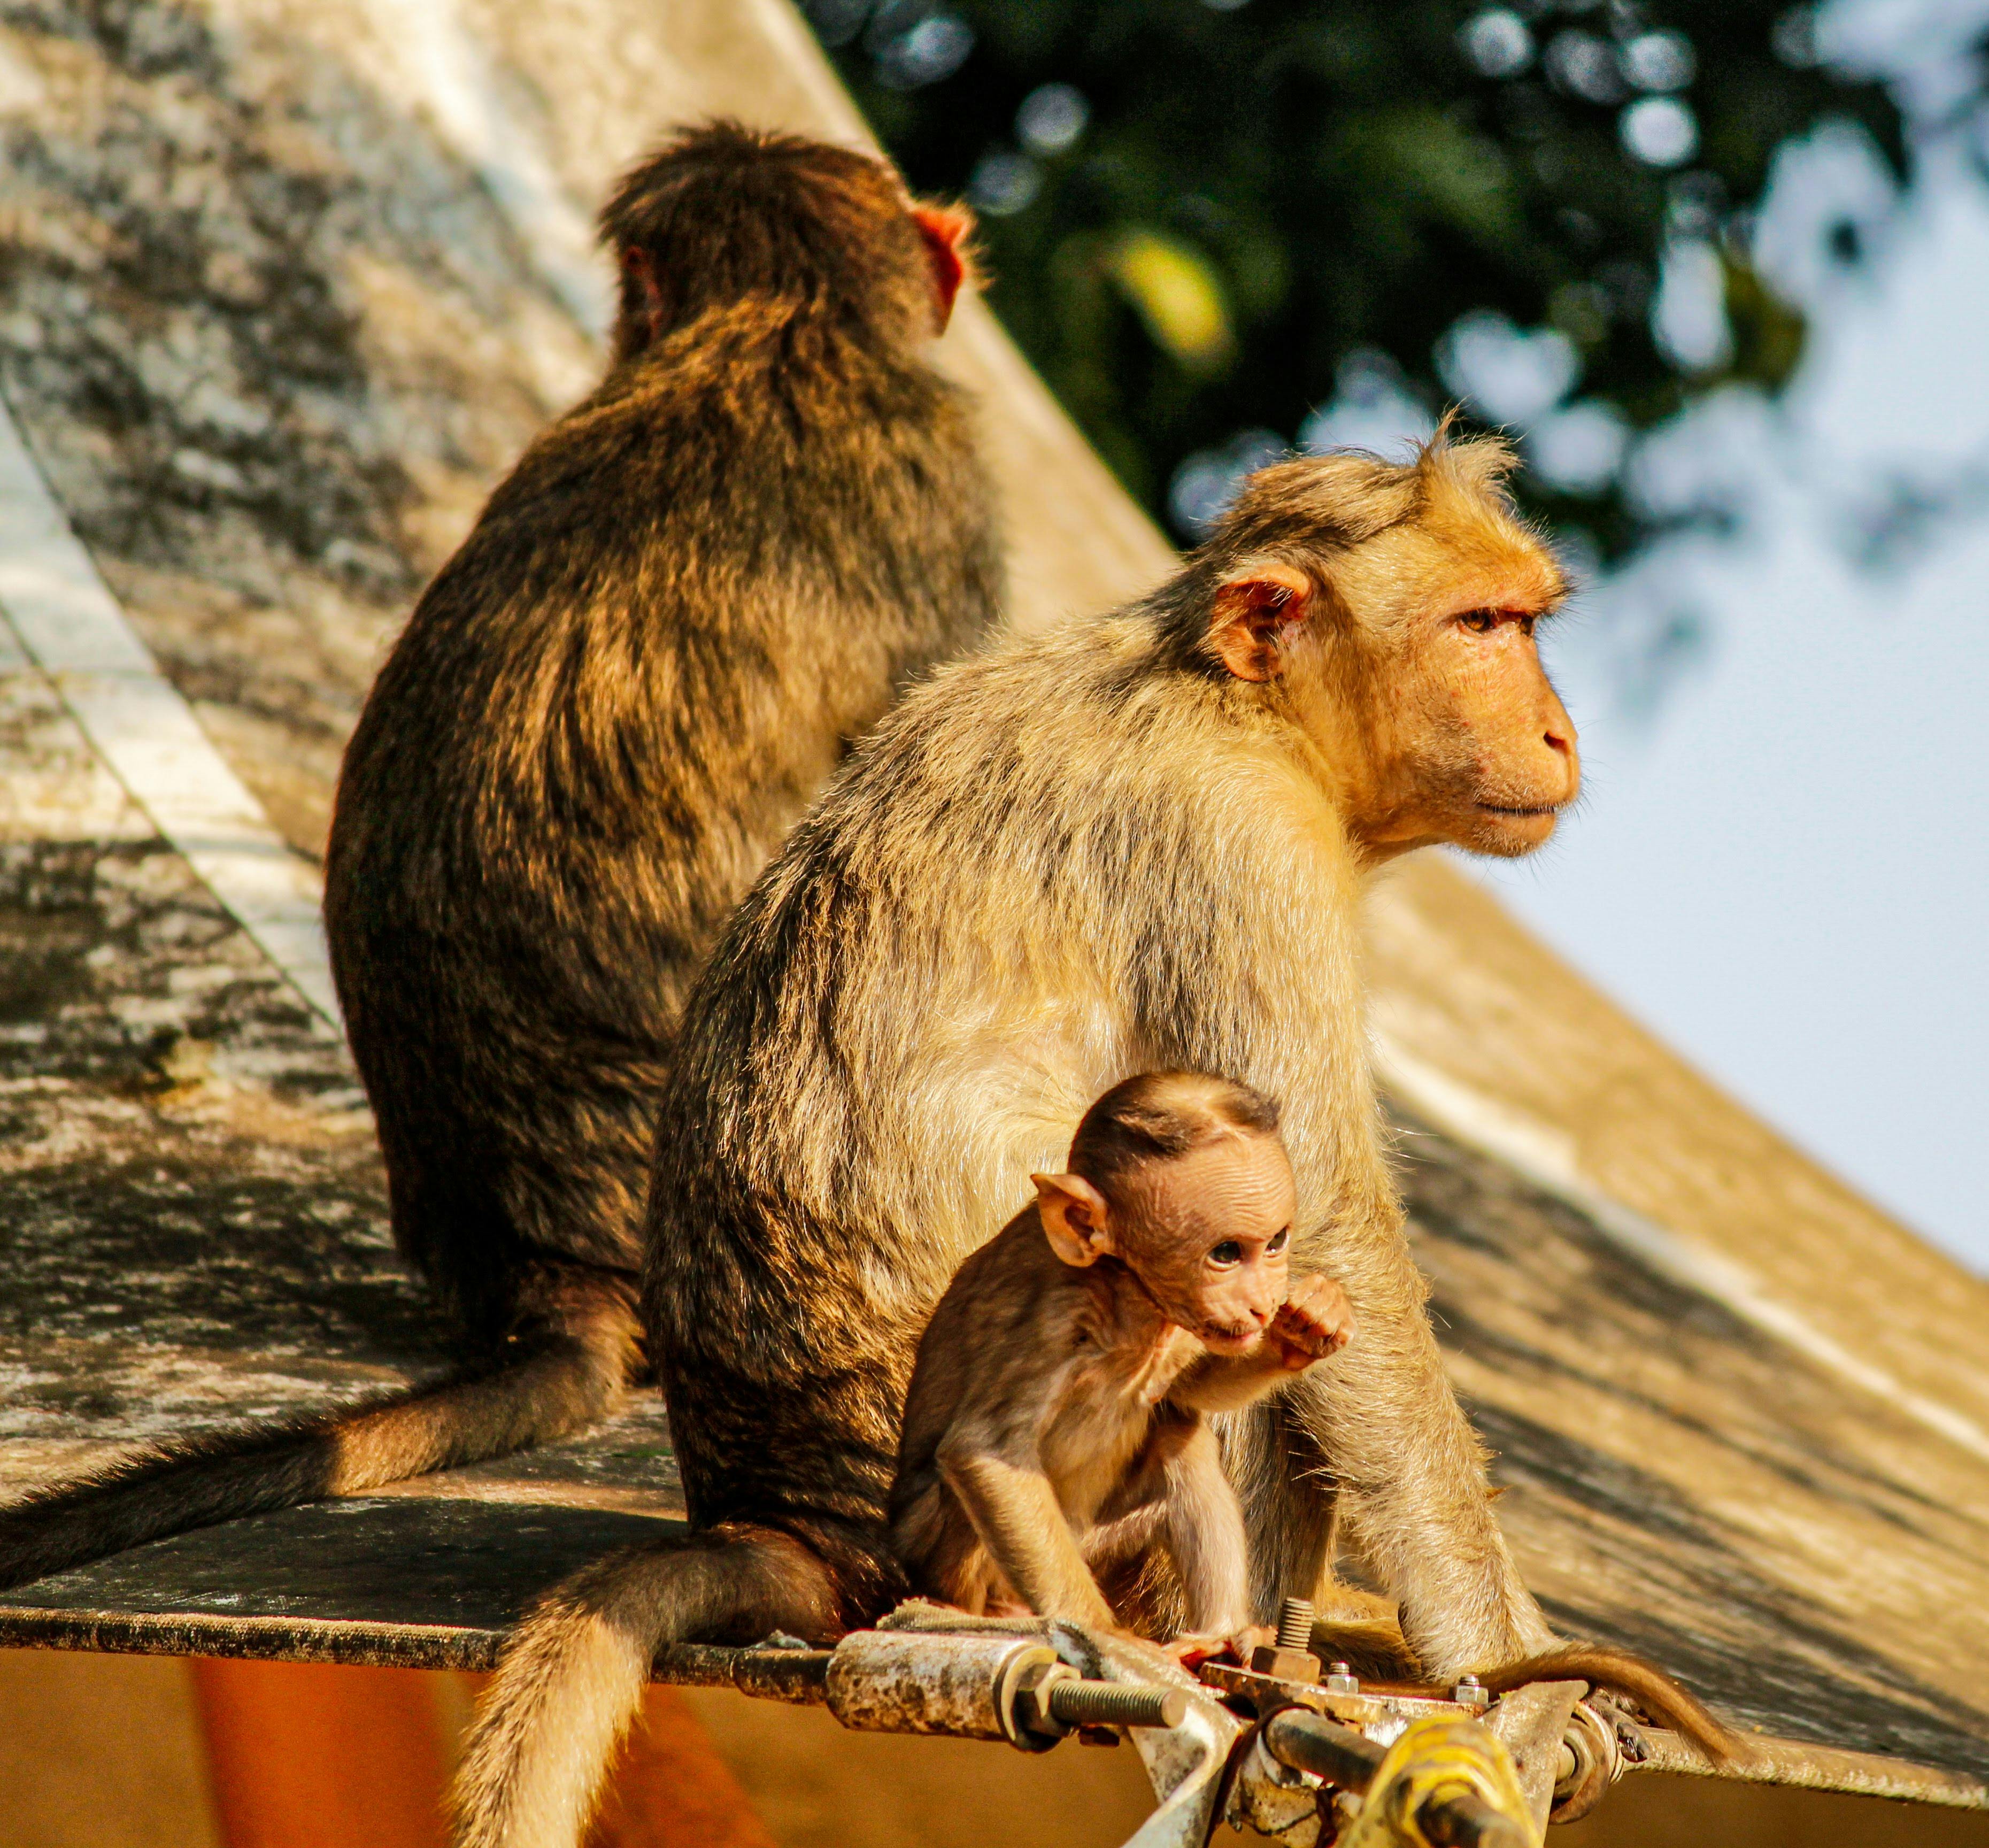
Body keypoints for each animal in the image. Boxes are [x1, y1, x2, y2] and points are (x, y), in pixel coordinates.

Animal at [890, 1071, 1356, 1659]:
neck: (1127, 1293)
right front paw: (1103, 1633)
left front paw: (1306, 1327)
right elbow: (985, 1453)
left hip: (1099, 1546)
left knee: (1179, 1436)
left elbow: (1186, 1390)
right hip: (955, 1554)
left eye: (1276, 1242)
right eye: (1226, 1253)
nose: (1261, 1303)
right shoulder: (1045, 1317)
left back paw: (1222, 1634)